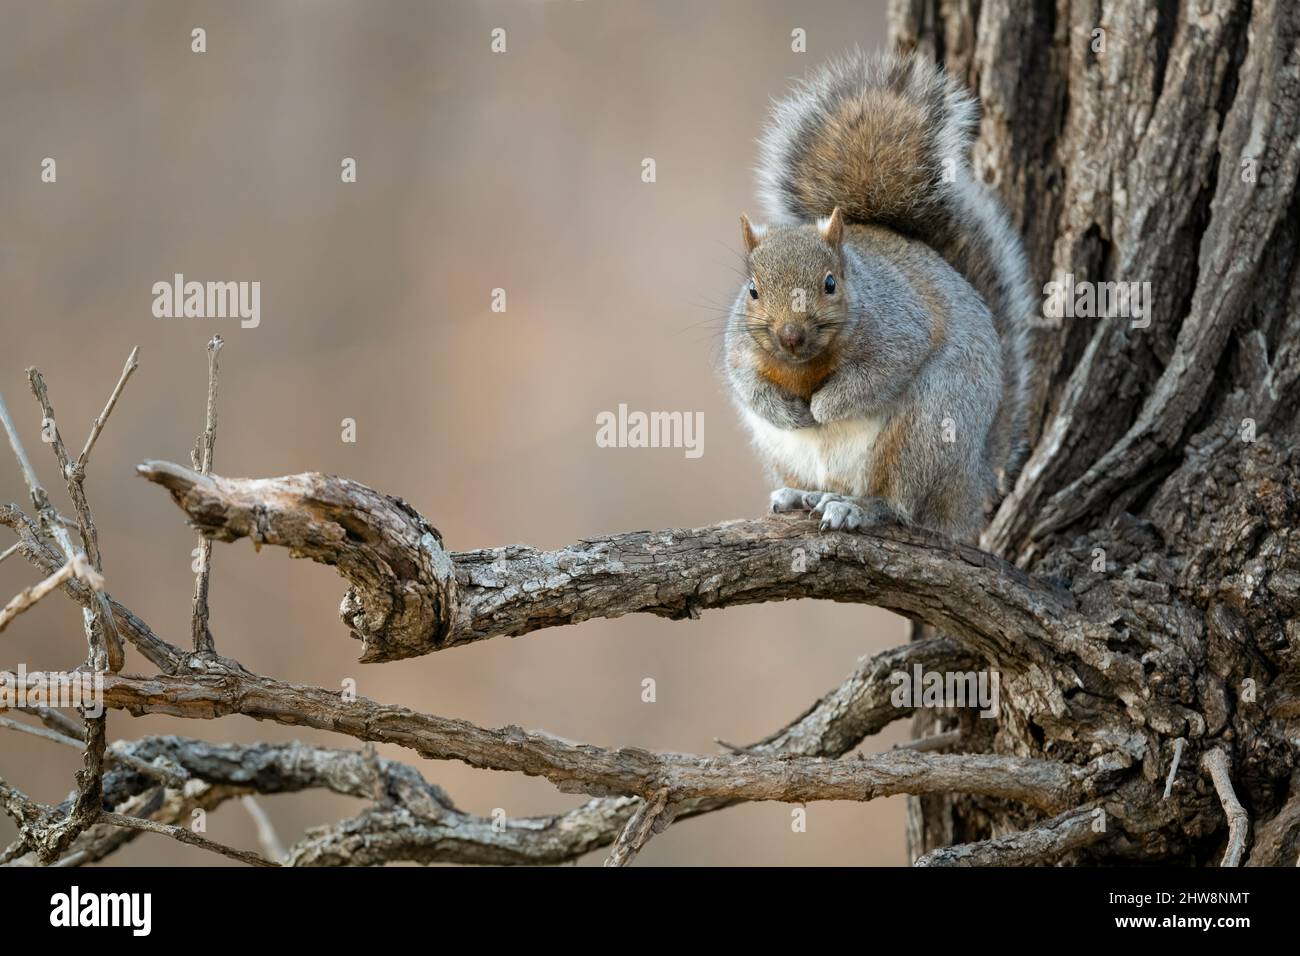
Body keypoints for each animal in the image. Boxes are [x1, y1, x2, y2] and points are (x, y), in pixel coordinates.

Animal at [724, 51, 1033, 543]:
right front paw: (790, 413)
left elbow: (877, 375)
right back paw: (803, 495)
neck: (804, 368)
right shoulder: (739, 349)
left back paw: (860, 508)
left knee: (903, 506)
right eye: (752, 290)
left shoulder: (899, 329)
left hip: (927, 428)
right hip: (785, 453)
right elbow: (747, 385)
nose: (790, 335)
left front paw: (823, 407)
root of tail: (971, 490)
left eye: (831, 283)